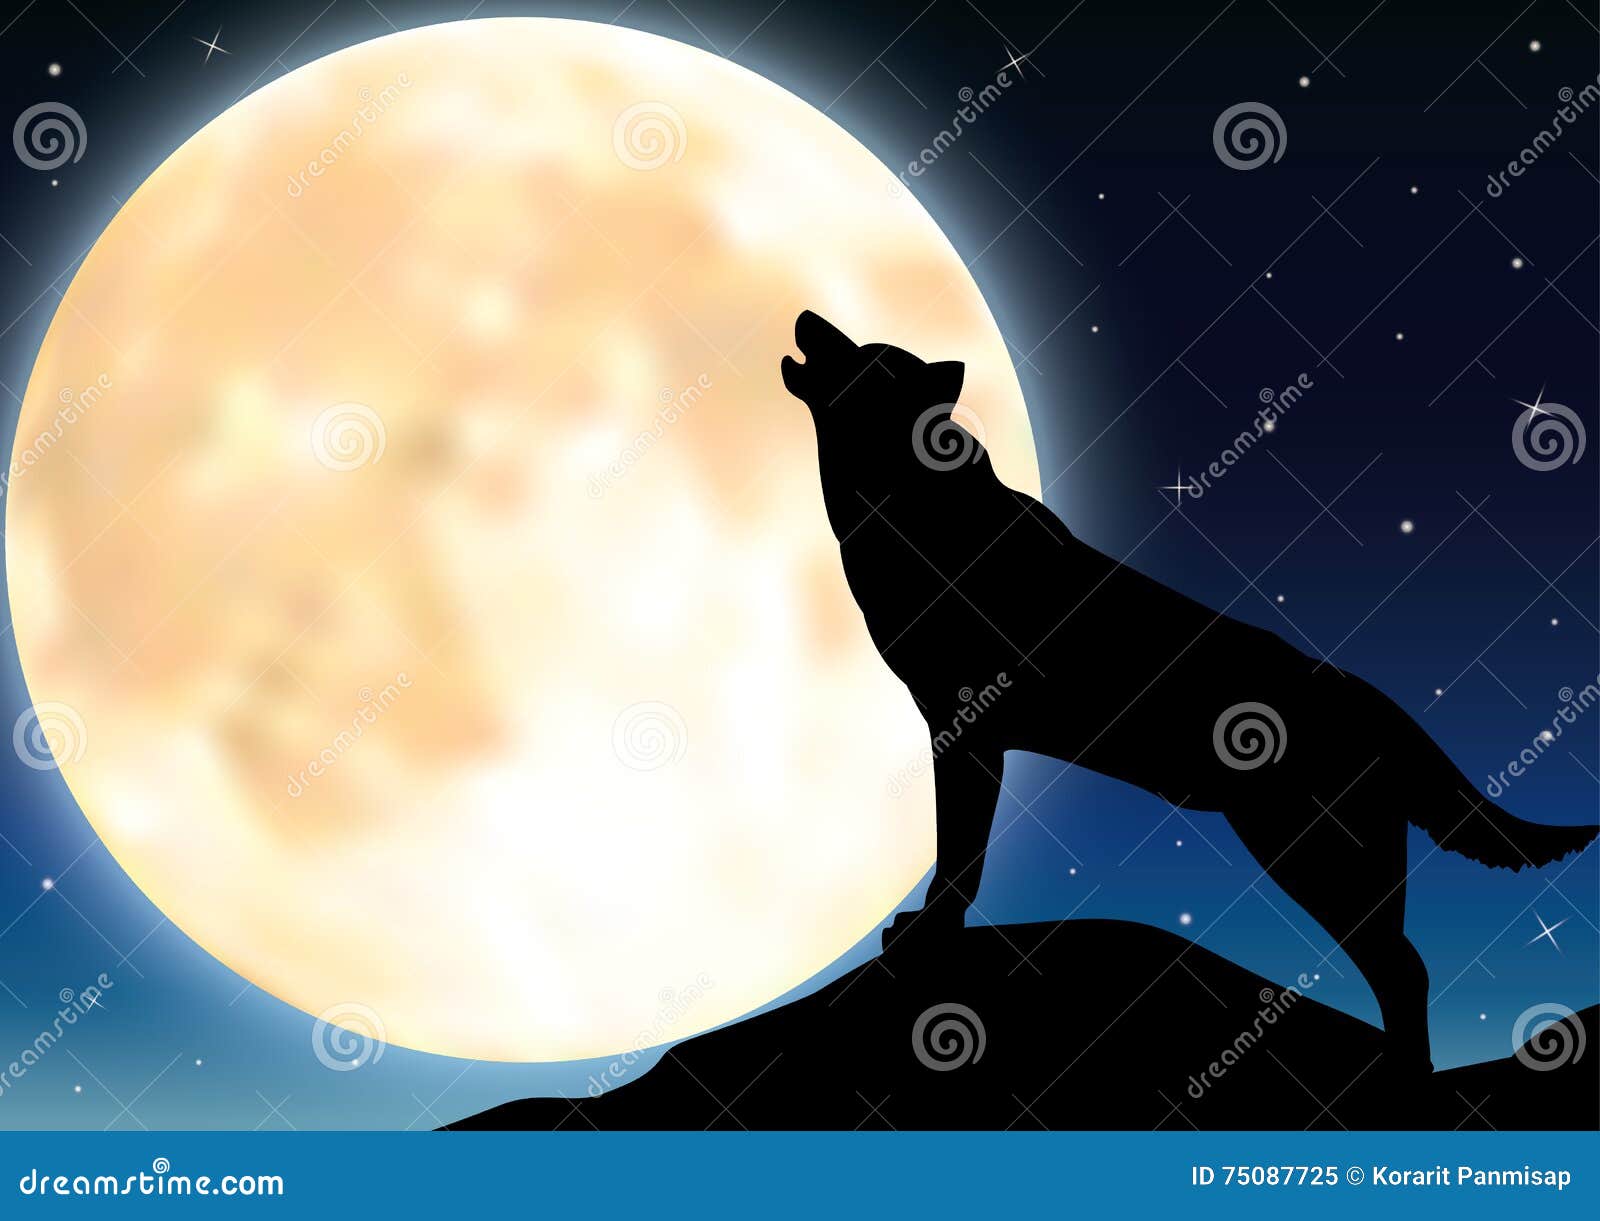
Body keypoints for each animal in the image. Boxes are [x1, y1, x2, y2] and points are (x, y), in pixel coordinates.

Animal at [781, 309, 1597, 1072]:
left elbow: (960, 858)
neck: (913, 510)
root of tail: (1376, 702)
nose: (807, 318)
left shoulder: (967, 733)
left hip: (1319, 855)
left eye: (866, 358)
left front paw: (926, 936)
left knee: (1403, 968)